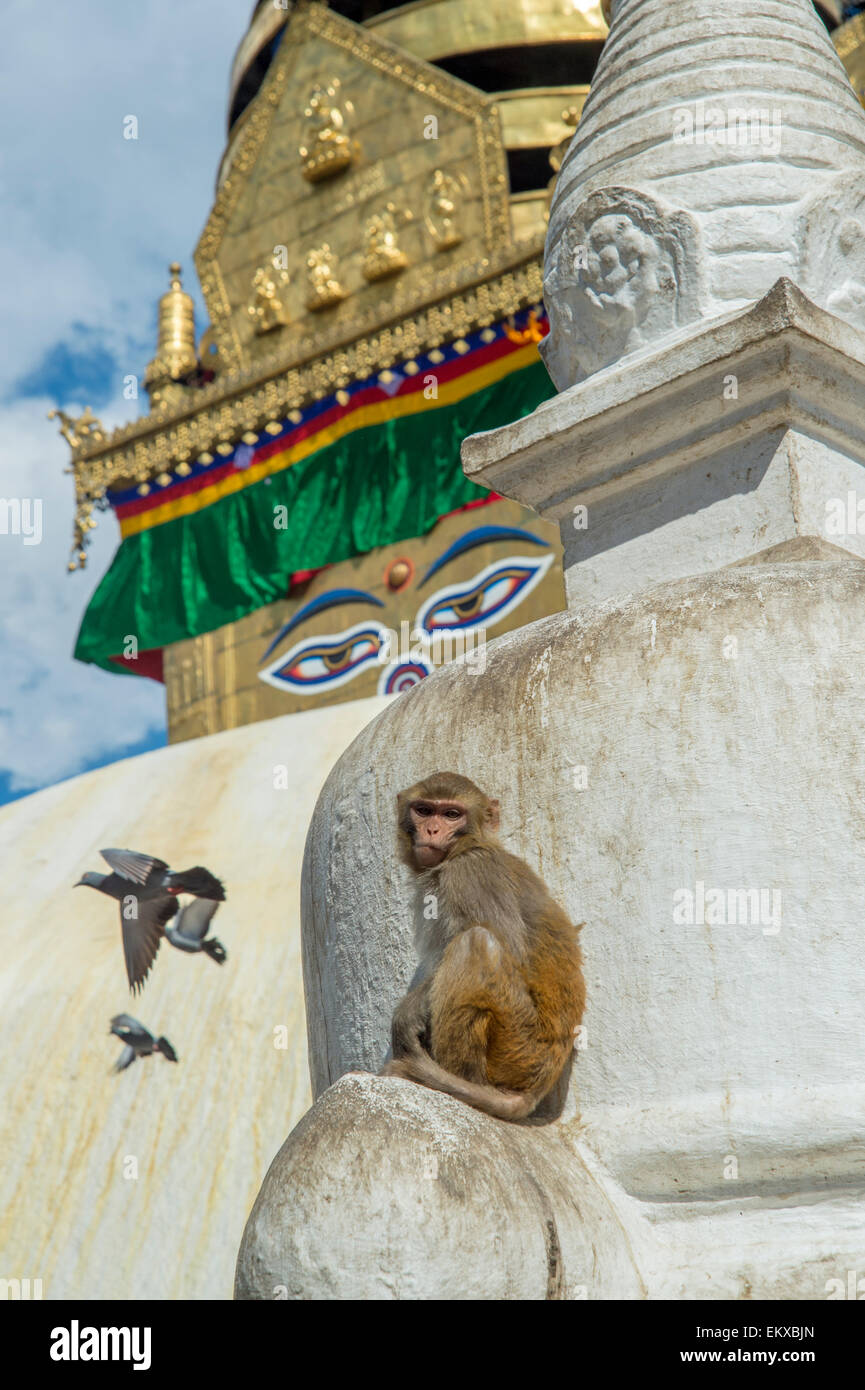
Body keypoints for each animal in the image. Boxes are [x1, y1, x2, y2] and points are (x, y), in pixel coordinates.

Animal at [381, 772, 585, 1122]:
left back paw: (457, 1084)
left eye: (451, 814)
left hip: (517, 1047)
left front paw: (406, 1013)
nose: (432, 830)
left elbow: (508, 946)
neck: (469, 847)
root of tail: (540, 1084)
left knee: (476, 944)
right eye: (424, 810)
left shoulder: (470, 875)